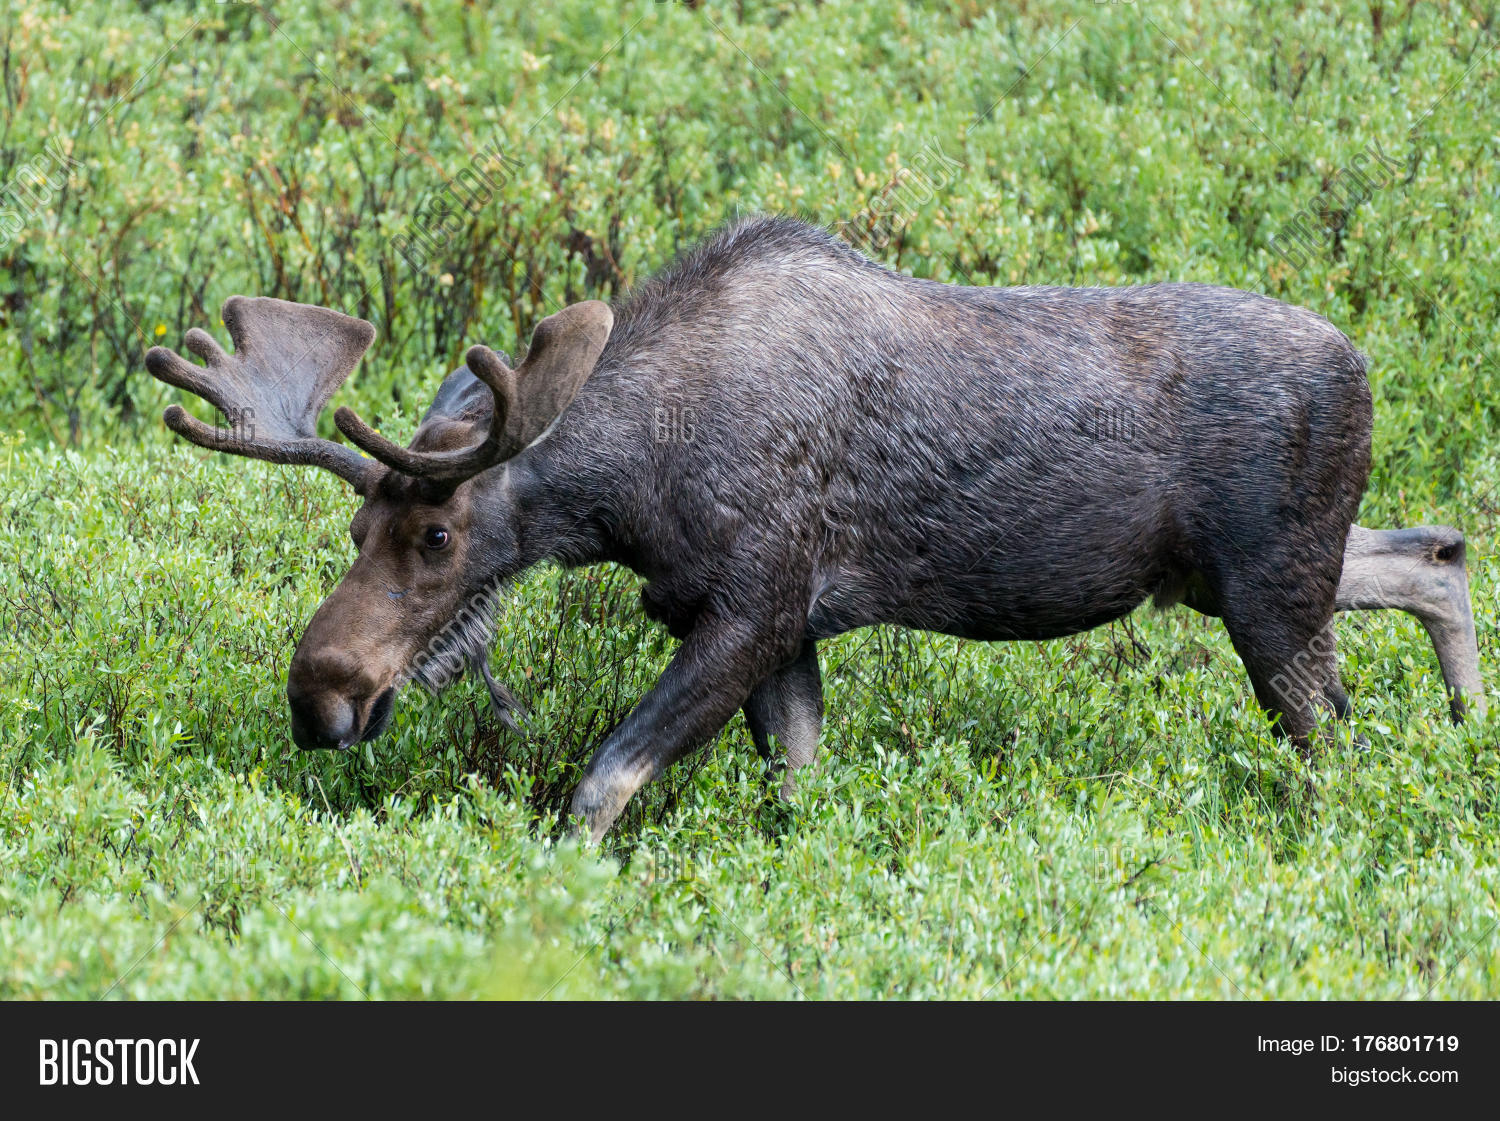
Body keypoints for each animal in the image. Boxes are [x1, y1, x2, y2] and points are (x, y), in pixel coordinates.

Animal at [145, 216, 1485, 841]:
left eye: (434, 536)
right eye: (354, 528)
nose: (318, 692)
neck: (632, 489)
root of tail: (1366, 369)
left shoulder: (754, 603)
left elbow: (598, 782)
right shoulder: (778, 630)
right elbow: (793, 791)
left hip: (1267, 589)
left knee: (1335, 733)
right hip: (1243, 575)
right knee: (1436, 549)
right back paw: (1470, 725)